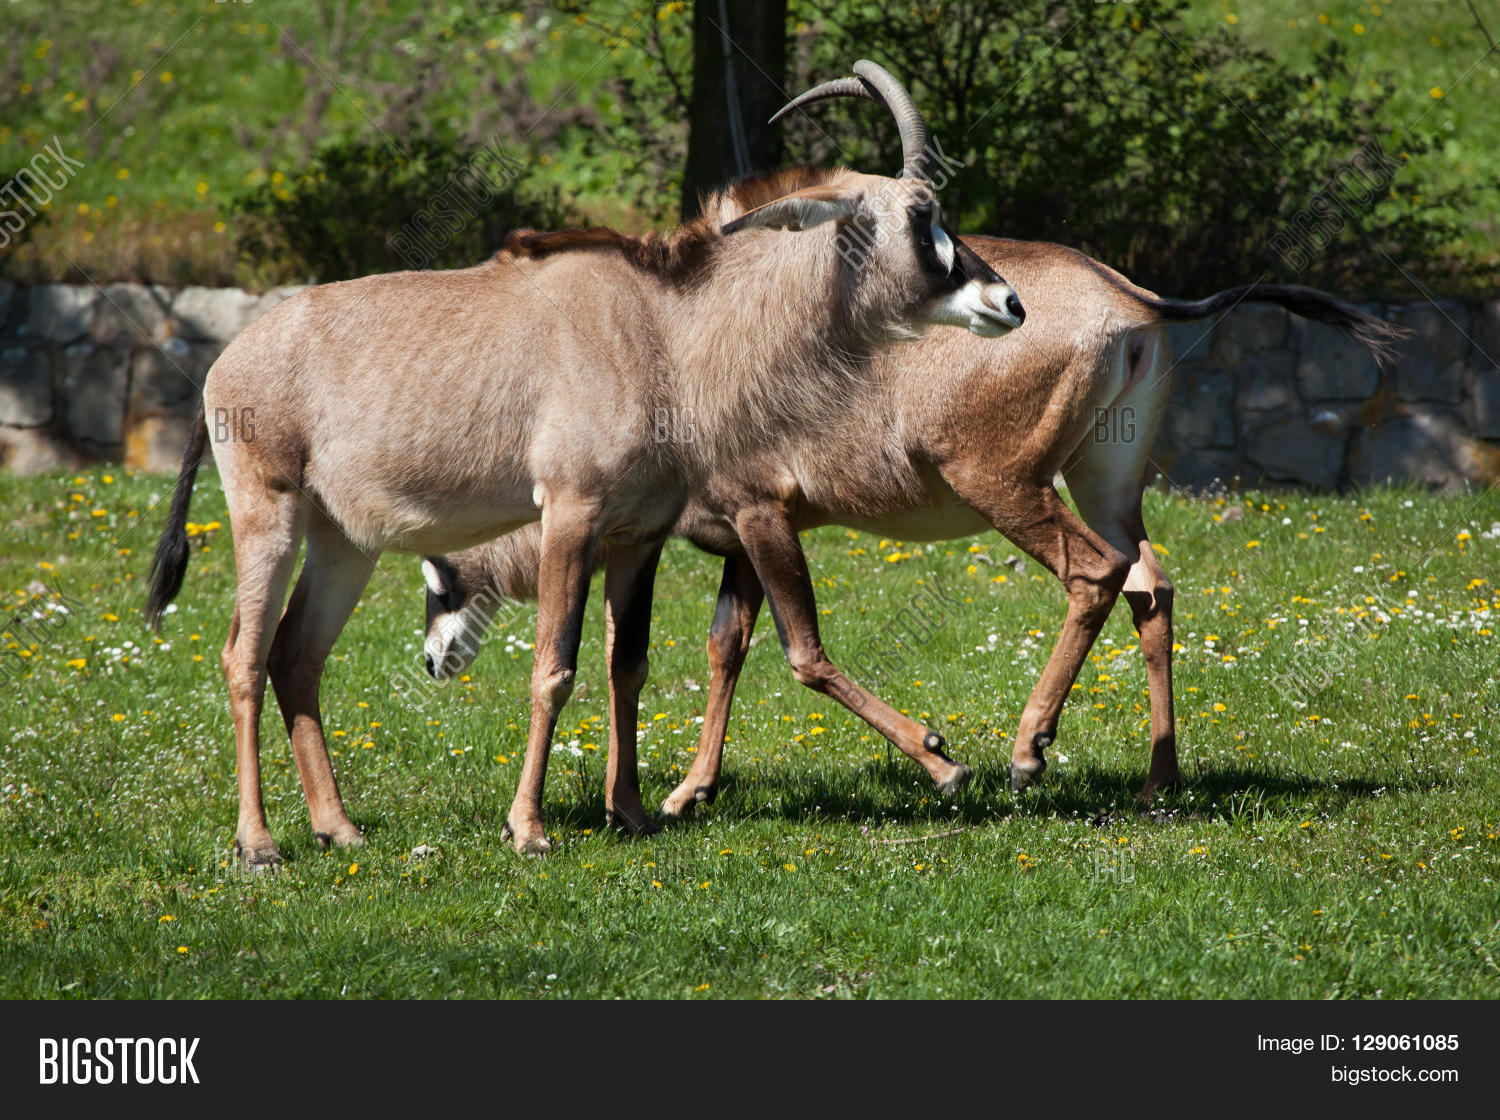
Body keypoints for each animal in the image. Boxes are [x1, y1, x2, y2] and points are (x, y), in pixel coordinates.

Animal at [144, 62, 1025, 865]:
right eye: (921, 216)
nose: (1009, 302)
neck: (666, 330)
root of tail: (226, 363)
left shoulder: (638, 536)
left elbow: (625, 666)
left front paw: (631, 812)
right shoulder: (571, 513)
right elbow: (554, 669)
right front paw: (529, 828)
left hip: (343, 541)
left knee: (297, 656)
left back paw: (340, 828)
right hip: (268, 511)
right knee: (243, 655)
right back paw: (259, 843)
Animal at [423, 236, 1402, 818]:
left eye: (434, 573)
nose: (431, 662)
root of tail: (1133, 302)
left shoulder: (763, 514)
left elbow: (803, 652)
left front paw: (942, 760)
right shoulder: (747, 529)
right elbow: (726, 647)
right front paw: (688, 792)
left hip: (1006, 485)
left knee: (1092, 576)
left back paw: (1026, 751)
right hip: (1106, 486)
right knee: (1149, 586)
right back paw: (1161, 783)